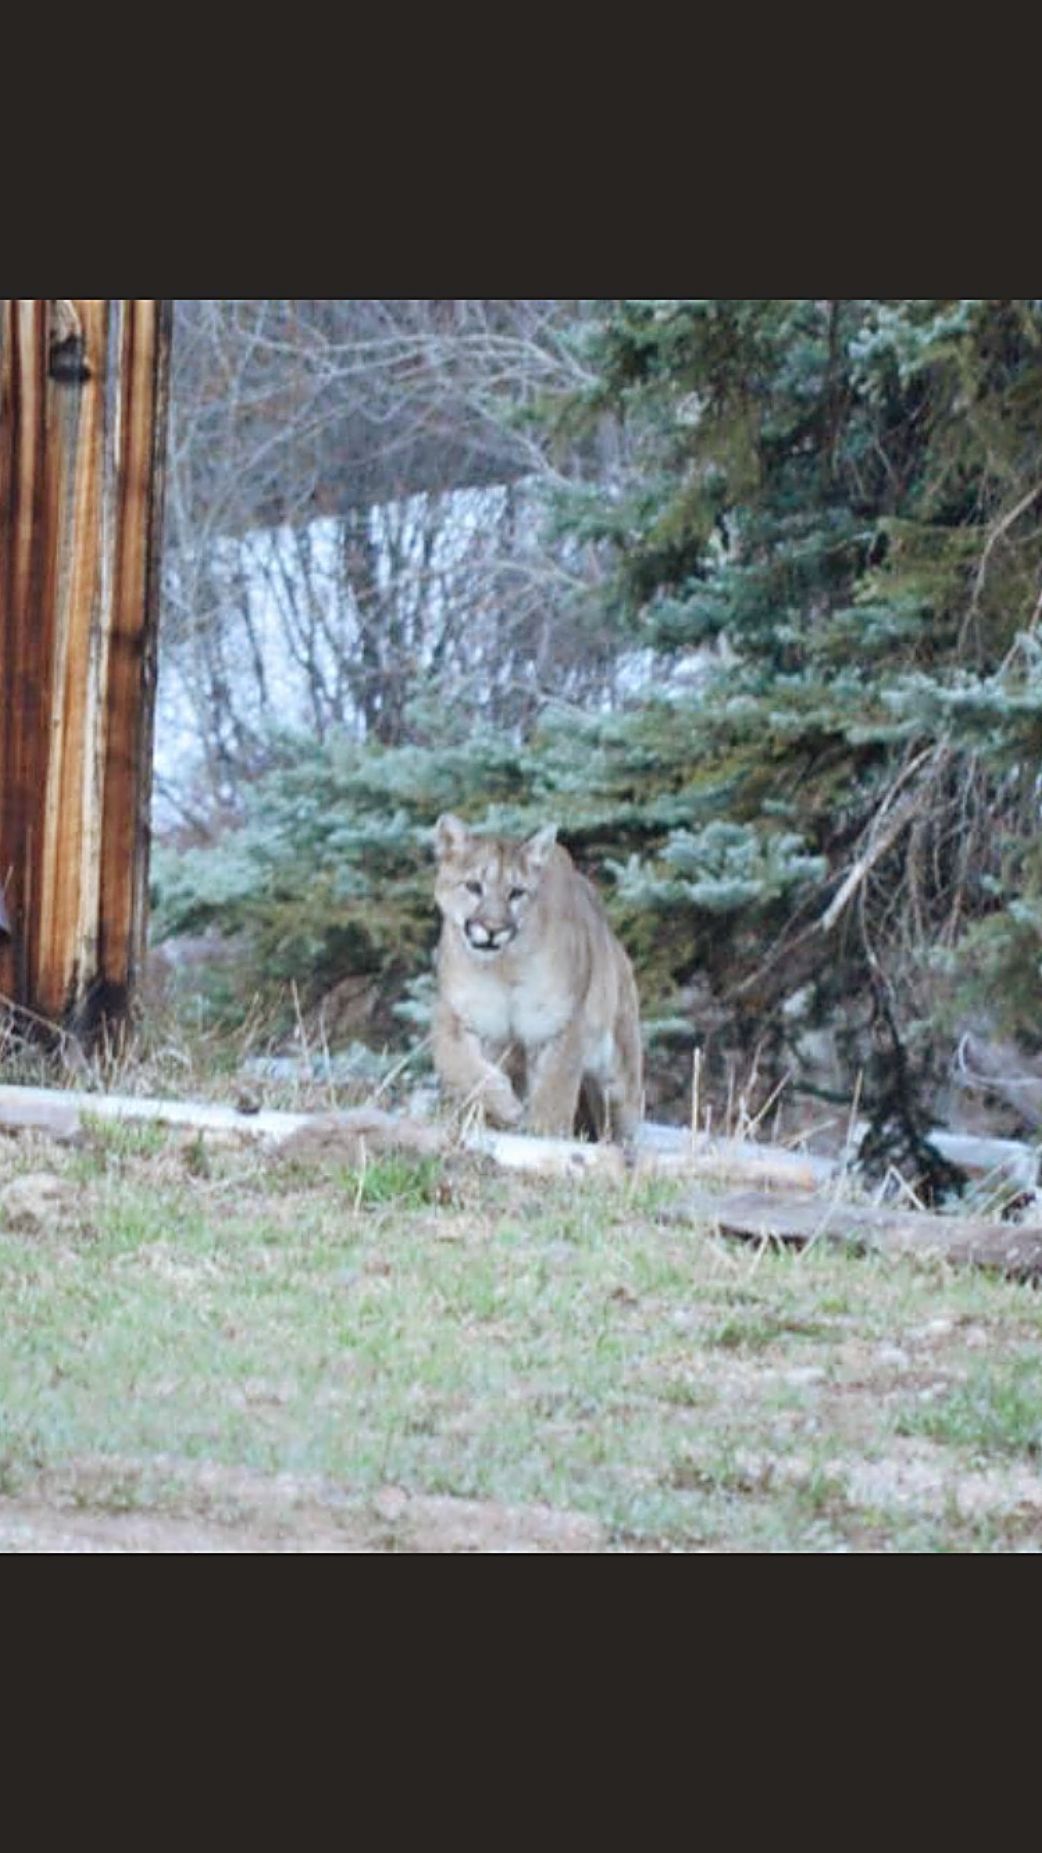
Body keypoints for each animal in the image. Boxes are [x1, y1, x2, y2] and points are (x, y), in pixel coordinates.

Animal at [431, 814, 643, 1142]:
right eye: (473, 886)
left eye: (516, 892)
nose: (492, 929)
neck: (503, 967)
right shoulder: (455, 1015)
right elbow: (458, 1065)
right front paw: (506, 1106)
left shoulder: (559, 1024)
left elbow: (555, 1090)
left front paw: (546, 1134)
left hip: (620, 1070)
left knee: (624, 1112)